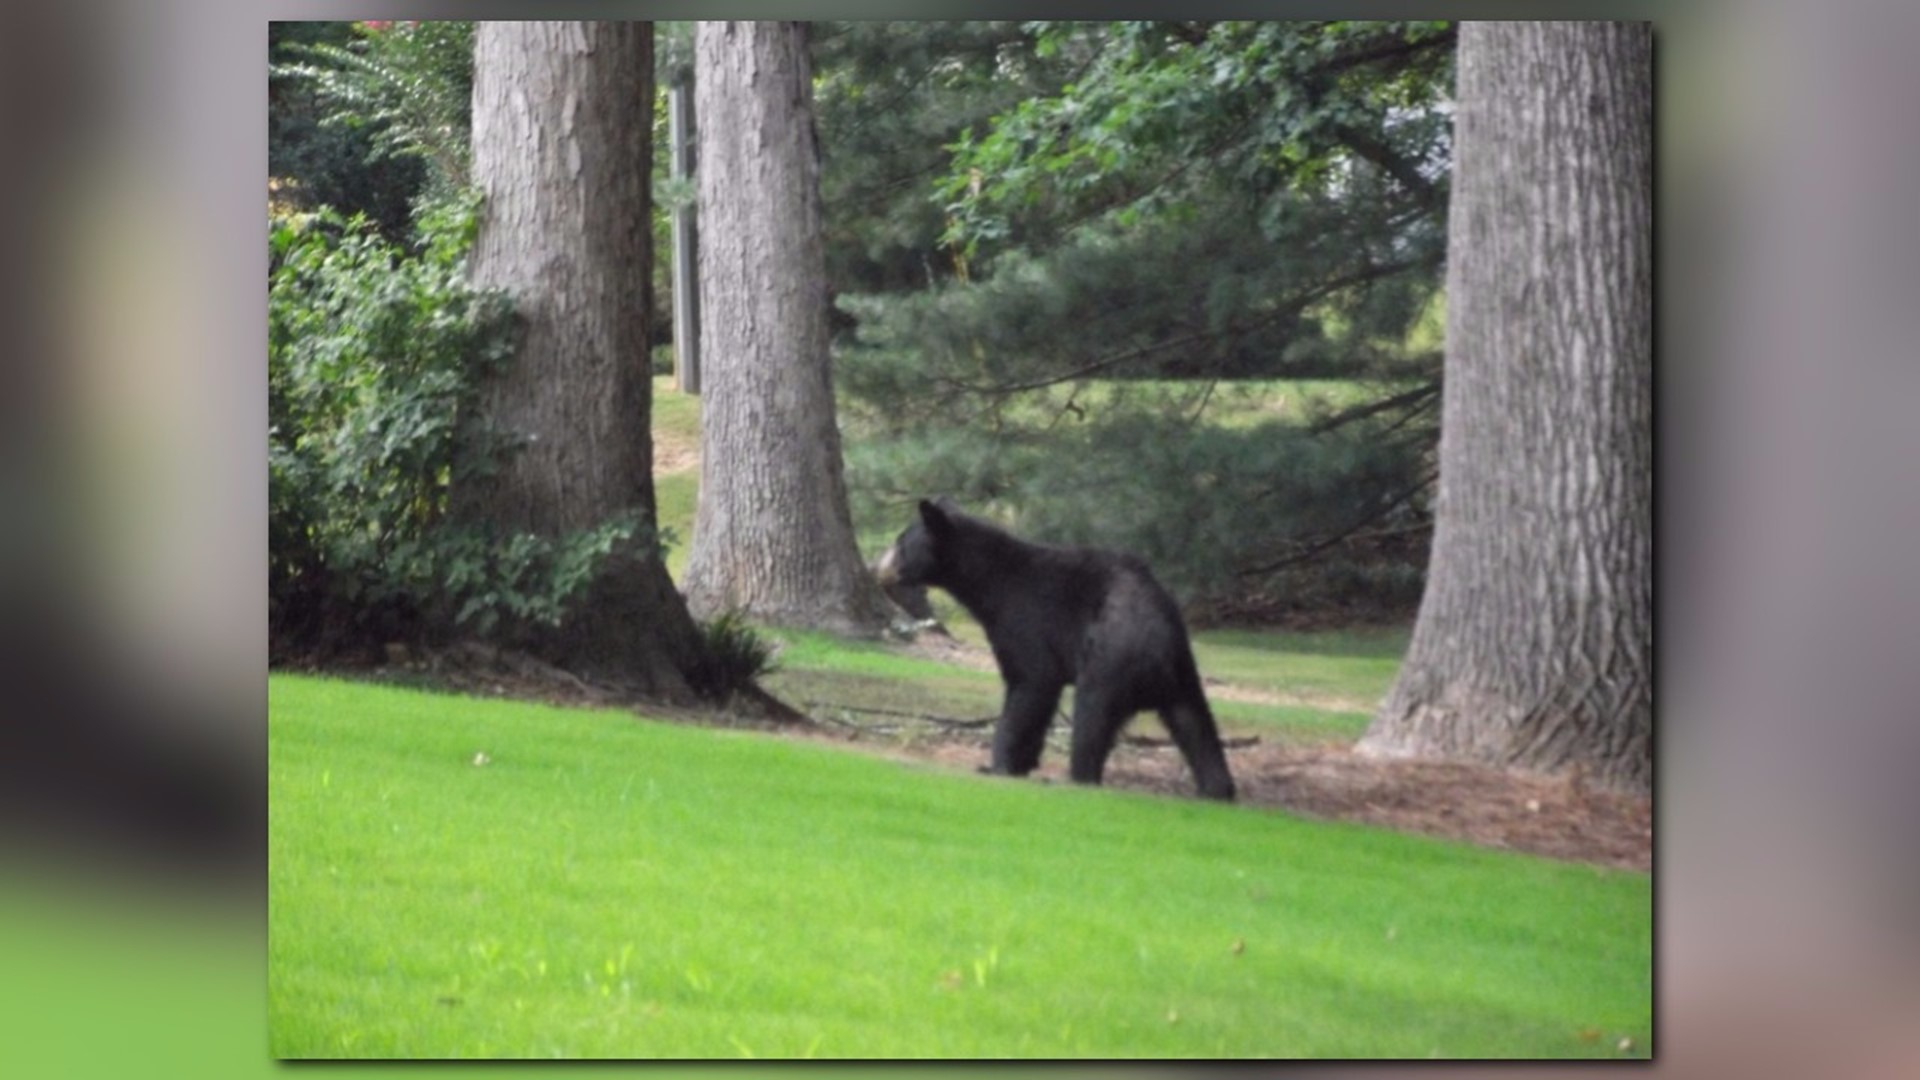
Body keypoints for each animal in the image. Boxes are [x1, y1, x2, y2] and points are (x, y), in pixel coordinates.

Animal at [875, 498, 1236, 801]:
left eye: (901, 543)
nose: (880, 567)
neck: (990, 583)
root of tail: (1160, 650)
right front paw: (1022, 763)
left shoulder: (1023, 620)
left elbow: (1030, 684)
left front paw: (997, 764)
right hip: (1184, 675)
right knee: (1196, 725)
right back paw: (1217, 789)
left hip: (1111, 658)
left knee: (1091, 715)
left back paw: (1077, 777)